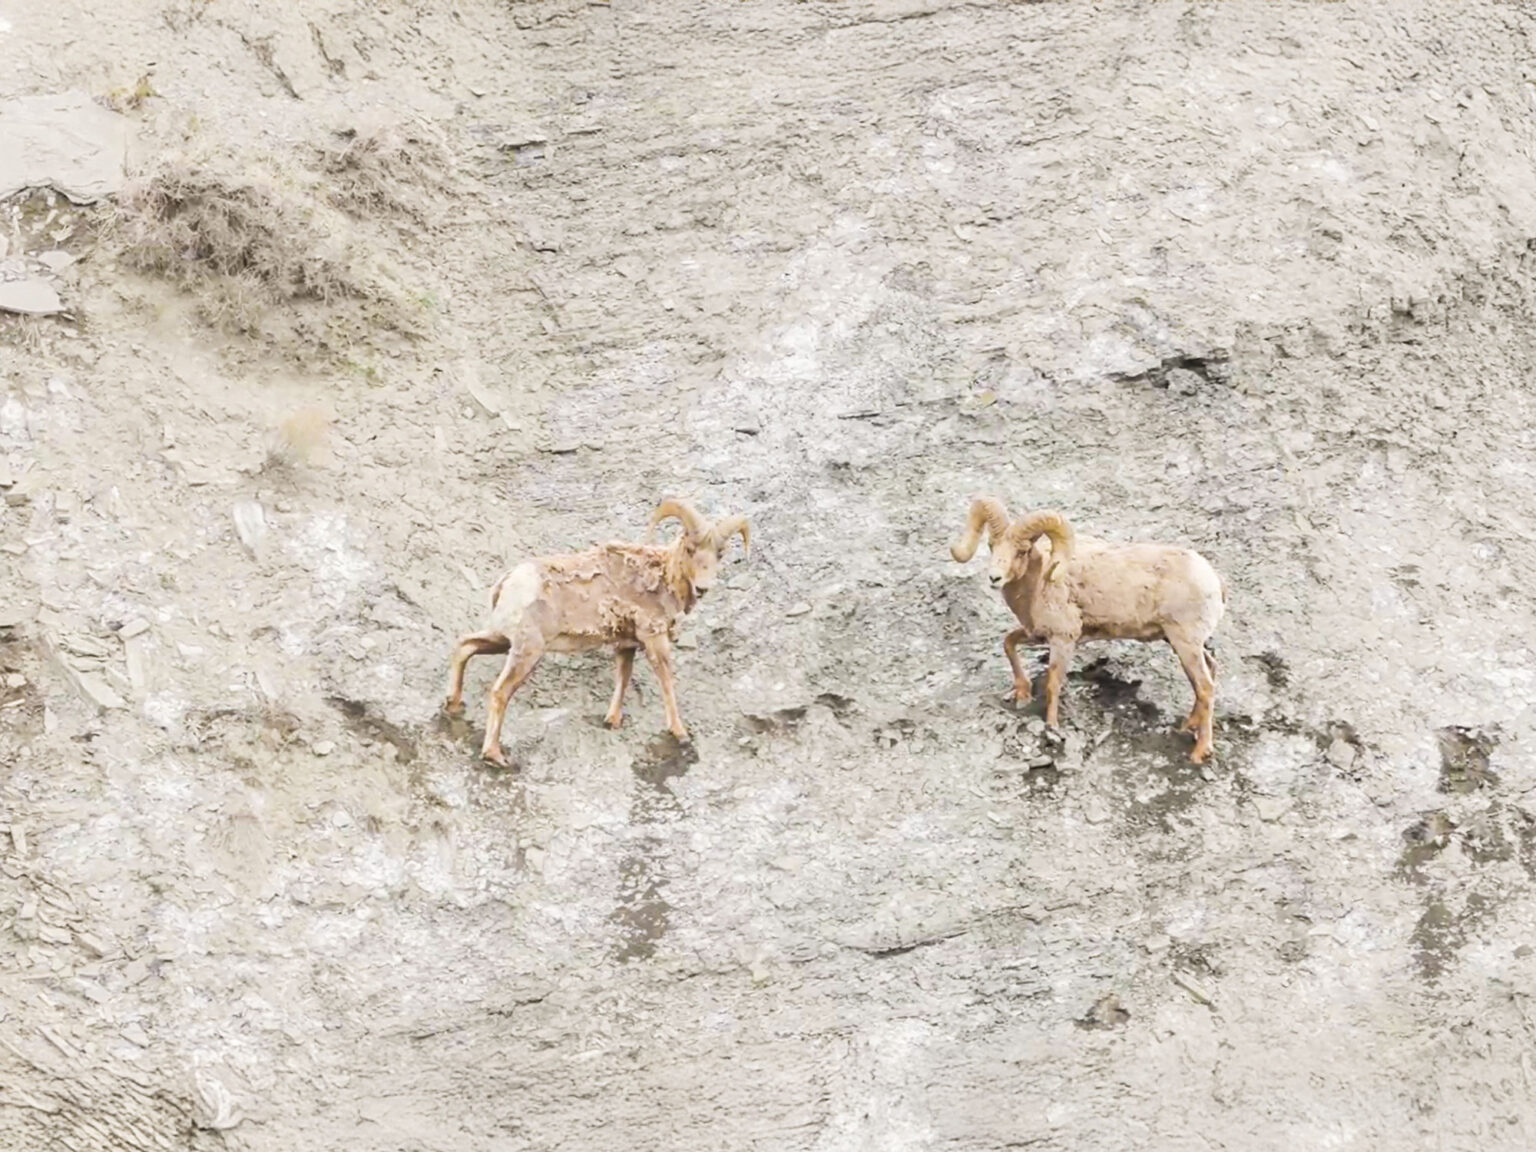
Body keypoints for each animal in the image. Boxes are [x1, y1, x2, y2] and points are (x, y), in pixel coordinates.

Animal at [443, 499, 750, 766]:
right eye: (689, 549)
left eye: (719, 553)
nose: (703, 587)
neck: (663, 577)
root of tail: (508, 581)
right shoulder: (654, 639)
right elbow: (666, 682)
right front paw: (680, 733)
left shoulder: (625, 645)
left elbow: (623, 678)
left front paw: (612, 720)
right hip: (527, 650)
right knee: (499, 692)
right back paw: (495, 756)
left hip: (503, 640)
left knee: (465, 646)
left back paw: (452, 704)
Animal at [950, 496, 1228, 763]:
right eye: (991, 546)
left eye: (1023, 551)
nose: (994, 578)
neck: (1039, 583)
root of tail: (1214, 581)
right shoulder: (1035, 634)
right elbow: (1008, 643)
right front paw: (1022, 691)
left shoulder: (1063, 640)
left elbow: (1053, 684)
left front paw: (1052, 726)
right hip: (1180, 643)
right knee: (1208, 673)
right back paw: (1188, 726)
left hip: (1185, 643)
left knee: (1205, 687)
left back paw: (1200, 752)